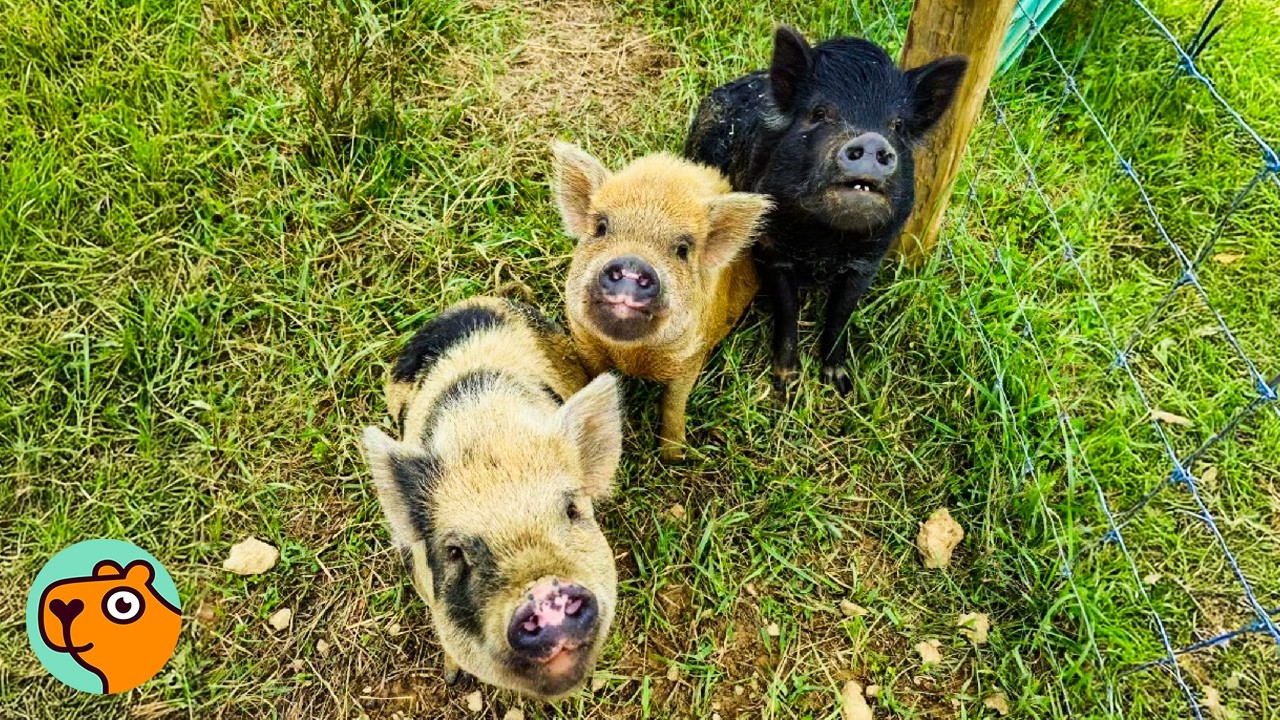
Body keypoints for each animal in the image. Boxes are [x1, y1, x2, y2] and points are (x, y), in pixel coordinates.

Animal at [360, 296, 624, 701]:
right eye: (454, 551)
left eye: (571, 510)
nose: (542, 589)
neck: (489, 433)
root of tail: (471, 302)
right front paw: (451, 677)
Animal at [552, 141, 771, 462]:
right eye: (601, 228)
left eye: (682, 249)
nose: (632, 264)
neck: (632, 355)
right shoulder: (584, 340)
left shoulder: (692, 354)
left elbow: (673, 404)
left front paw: (674, 459)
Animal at [684, 26, 967, 395]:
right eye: (819, 113)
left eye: (898, 126)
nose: (873, 139)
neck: (826, 244)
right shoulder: (772, 253)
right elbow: (787, 312)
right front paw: (786, 387)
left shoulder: (866, 263)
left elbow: (840, 315)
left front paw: (841, 386)